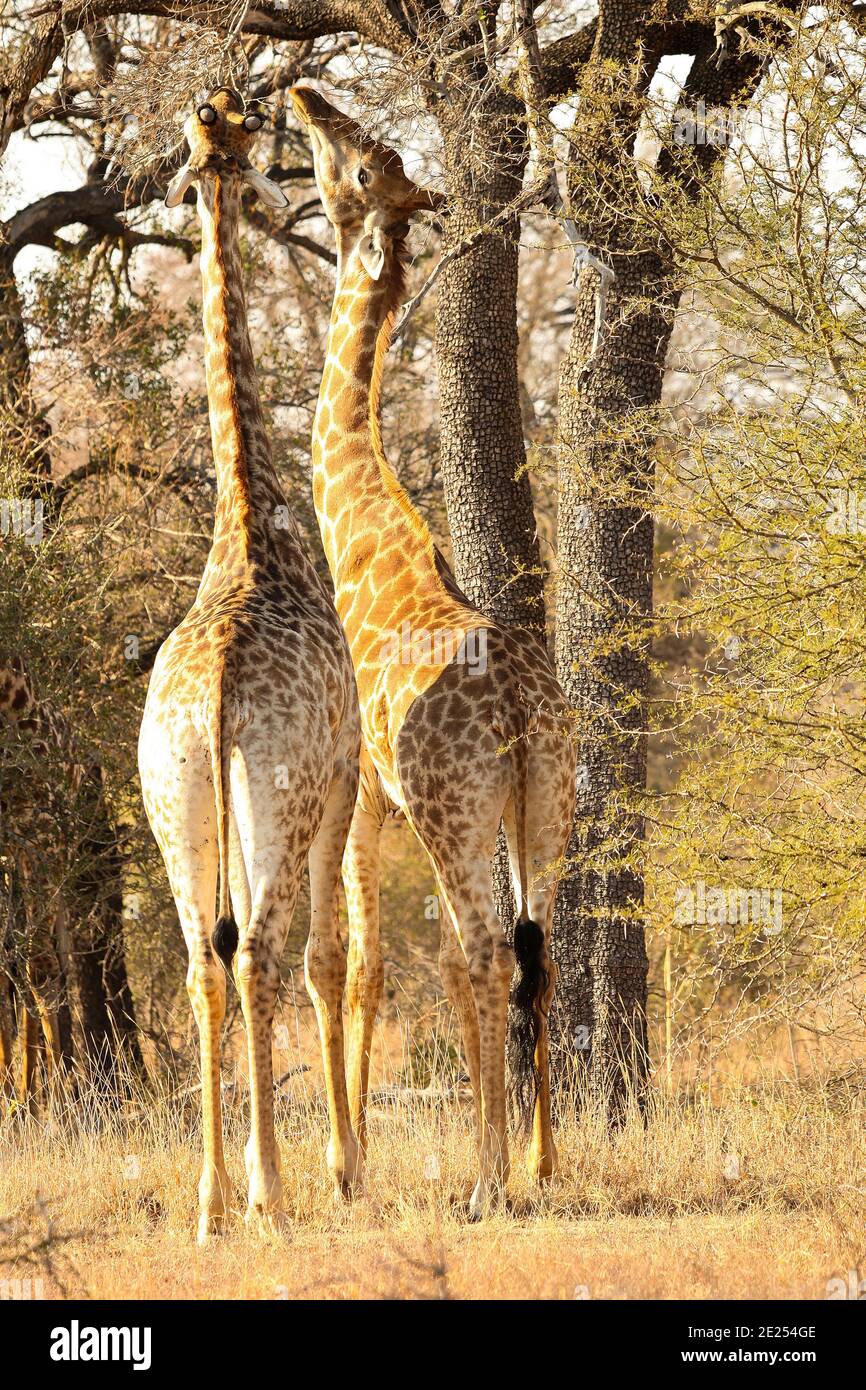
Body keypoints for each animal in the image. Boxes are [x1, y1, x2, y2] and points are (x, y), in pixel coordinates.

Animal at [292, 87, 576, 1217]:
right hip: (543, 801)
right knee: (540, 949)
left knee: (487, 952)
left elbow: (359, 961)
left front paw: (350, 1163)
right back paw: (541, 1160)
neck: (358, 525)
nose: (302, 95)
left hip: (458, 812)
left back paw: (488, 1181)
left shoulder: (365, 788)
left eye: (364, 163)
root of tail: (520, 710)